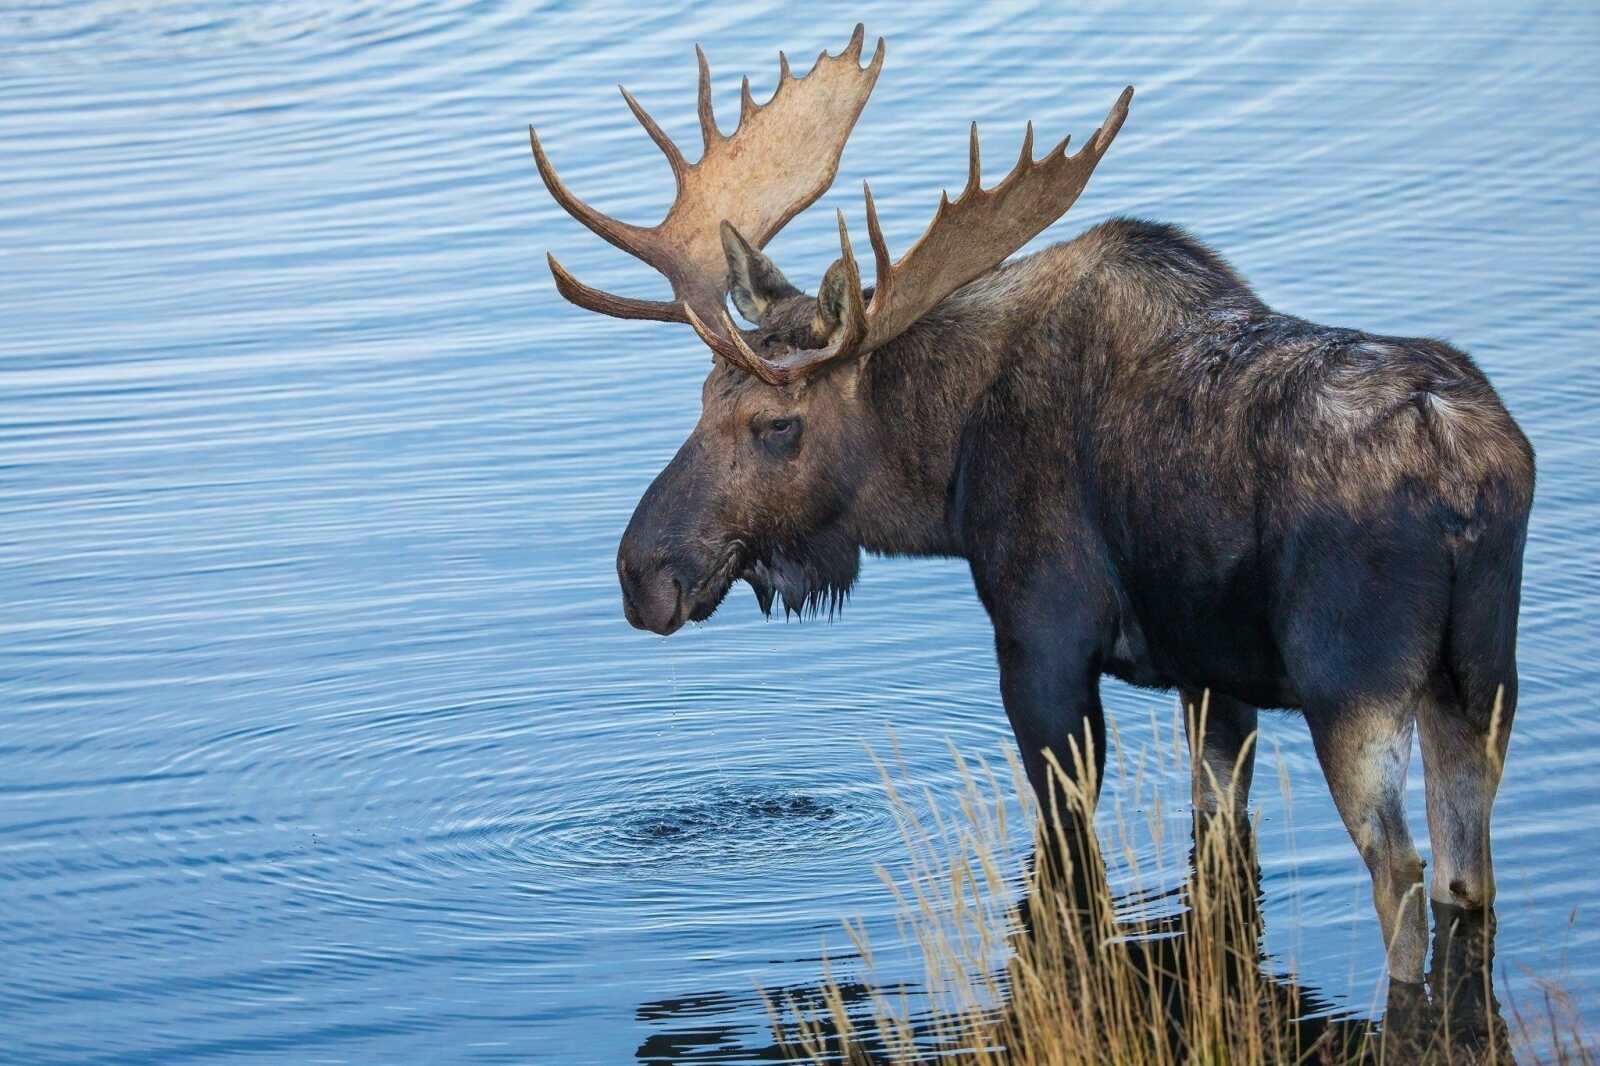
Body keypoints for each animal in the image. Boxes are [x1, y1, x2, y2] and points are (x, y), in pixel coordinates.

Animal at [527, 25, 1534, 983]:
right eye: (701, 396)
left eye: (777, 424)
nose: (642, 572)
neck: (945, 471)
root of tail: (1467, 479)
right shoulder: (1209, 675)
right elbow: (1216, 831)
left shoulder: (1043, 642)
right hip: (1480, 677)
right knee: (1465, 873)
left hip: (1352, 686)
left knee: (1402, 875)